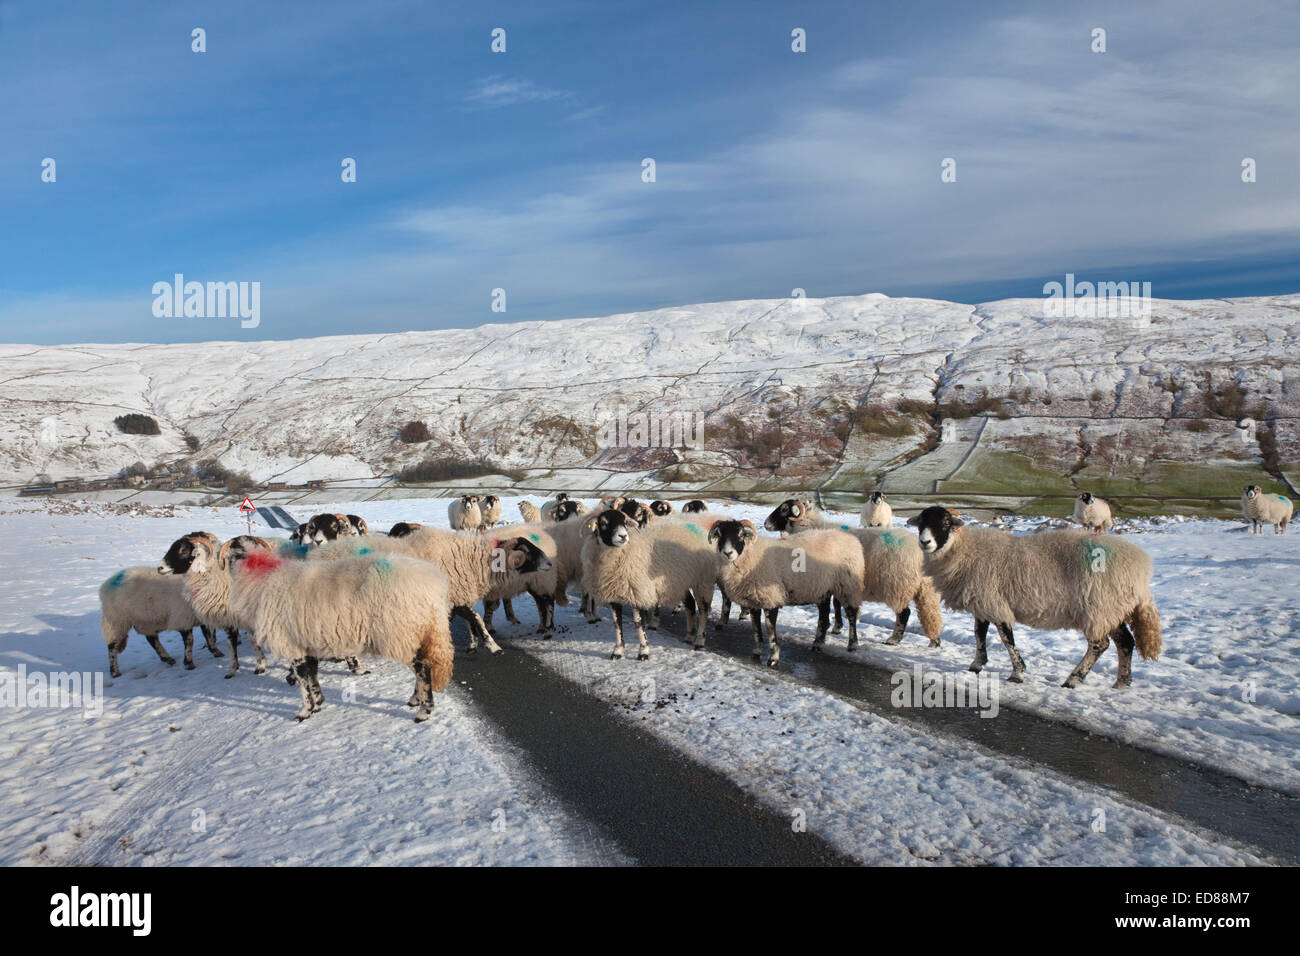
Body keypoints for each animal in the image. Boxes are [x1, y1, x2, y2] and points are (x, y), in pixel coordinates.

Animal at [185, 538, 455, 721]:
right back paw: (415, 699)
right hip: (416, 631)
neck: (259, 575)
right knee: (423, 665)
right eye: (232, 554)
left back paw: (424, 710)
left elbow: (303, 681)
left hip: (398, 632)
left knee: (423, 667)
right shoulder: (307, 642)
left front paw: (304, 712)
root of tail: (433, 582)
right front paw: (318, 704)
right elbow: (312, 678)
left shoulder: (292, 643)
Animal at [580, 508, 716, 660]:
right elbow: (617, 624)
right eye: (603, 523)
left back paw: (699, 641)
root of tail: (697, 529)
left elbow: (639, 624)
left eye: (625, 522)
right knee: (691, 604)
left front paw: (643, 652)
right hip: (679, 582)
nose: (623, 536)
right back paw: (689, 636)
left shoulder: (637, 592)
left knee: (703, 610)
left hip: (702, 580)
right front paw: (618, 651)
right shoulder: (614, 595)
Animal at [708, 519, 865, 667]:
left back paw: (852, 644)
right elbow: (756, 628)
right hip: (822, 588)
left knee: (851, 614)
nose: (728, 553)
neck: (751, 555)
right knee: (824, 615)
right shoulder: (753, 600)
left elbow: (770, 629)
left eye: (741, 535)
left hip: (847, 586)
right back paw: (817, 644)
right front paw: (757, 651)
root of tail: (852, 539)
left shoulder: (771, 598)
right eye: (719, 535)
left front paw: (773, 658)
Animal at [764, 498, 943, 647]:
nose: (766, 524)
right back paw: (934, 641)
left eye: (784, 509)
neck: (812, 527)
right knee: (931, 613)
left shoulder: (835, 580)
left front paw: (836, 627)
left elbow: (835, 604)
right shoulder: (838, 581)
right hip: (927, 589)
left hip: (897, 584)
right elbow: (837, 603)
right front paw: (838, 626)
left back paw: (894, 639)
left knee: (904, 613)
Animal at [907, 506, 1161, 688]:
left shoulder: (995, 602)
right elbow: (979, 634)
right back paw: (1121, 682)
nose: (924, 542)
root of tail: (1141, 567)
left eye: (946, 522)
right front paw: (977, 665)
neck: (963, 550)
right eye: (922, 522)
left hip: (1099, 607)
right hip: (1113, 609)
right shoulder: (982, 602)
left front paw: (1017, 673)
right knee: (1125, 642)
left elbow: (1006, 639)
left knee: (1100, 645)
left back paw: (1073, 679)